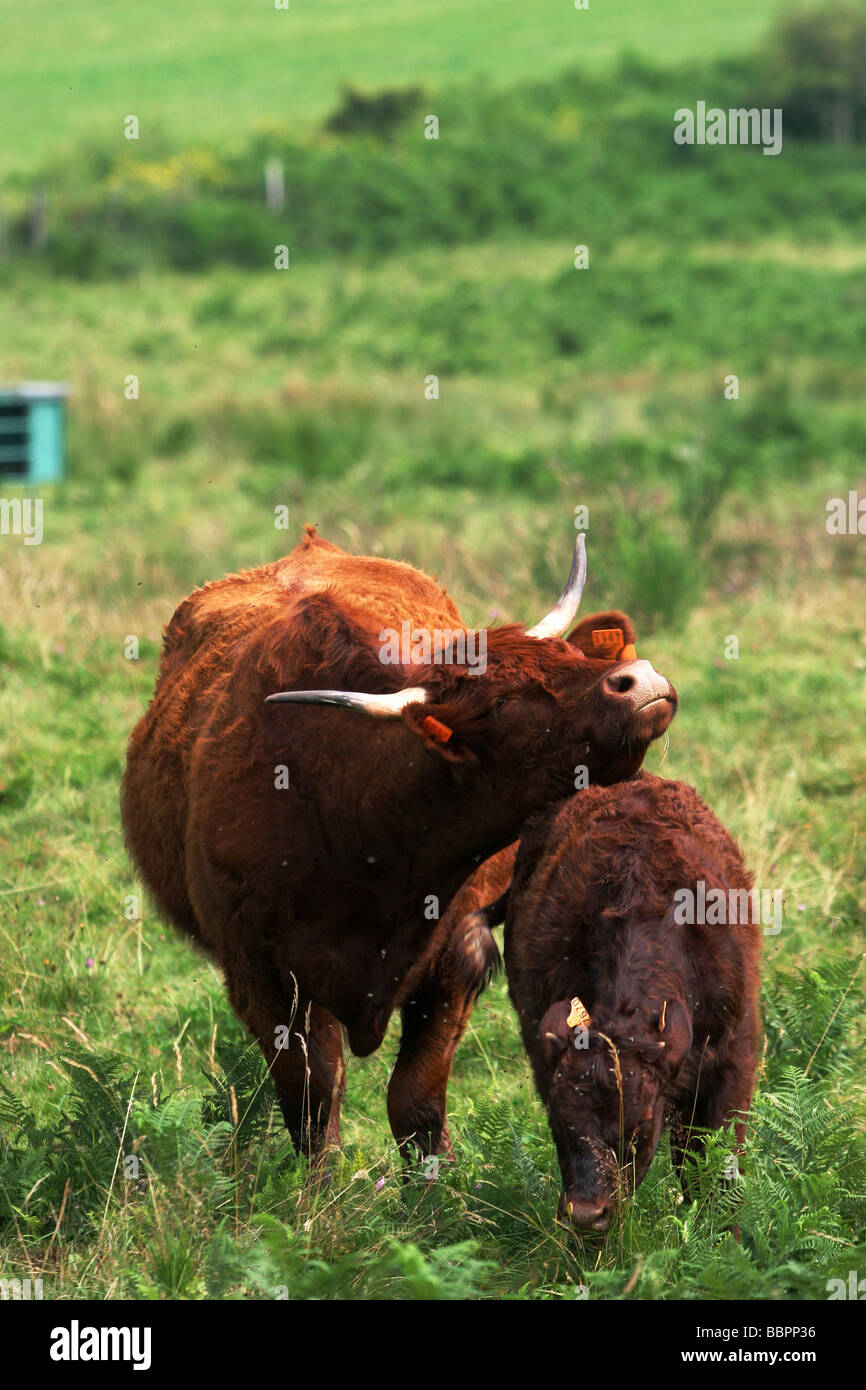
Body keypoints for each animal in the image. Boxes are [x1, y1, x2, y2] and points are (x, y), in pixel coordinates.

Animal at [121, 525, 677, 1166]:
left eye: (574, 657)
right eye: (501, 703)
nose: (638, 680)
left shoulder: (456, 960)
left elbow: (415, 1102)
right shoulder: (262, 979)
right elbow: (314, 1106)